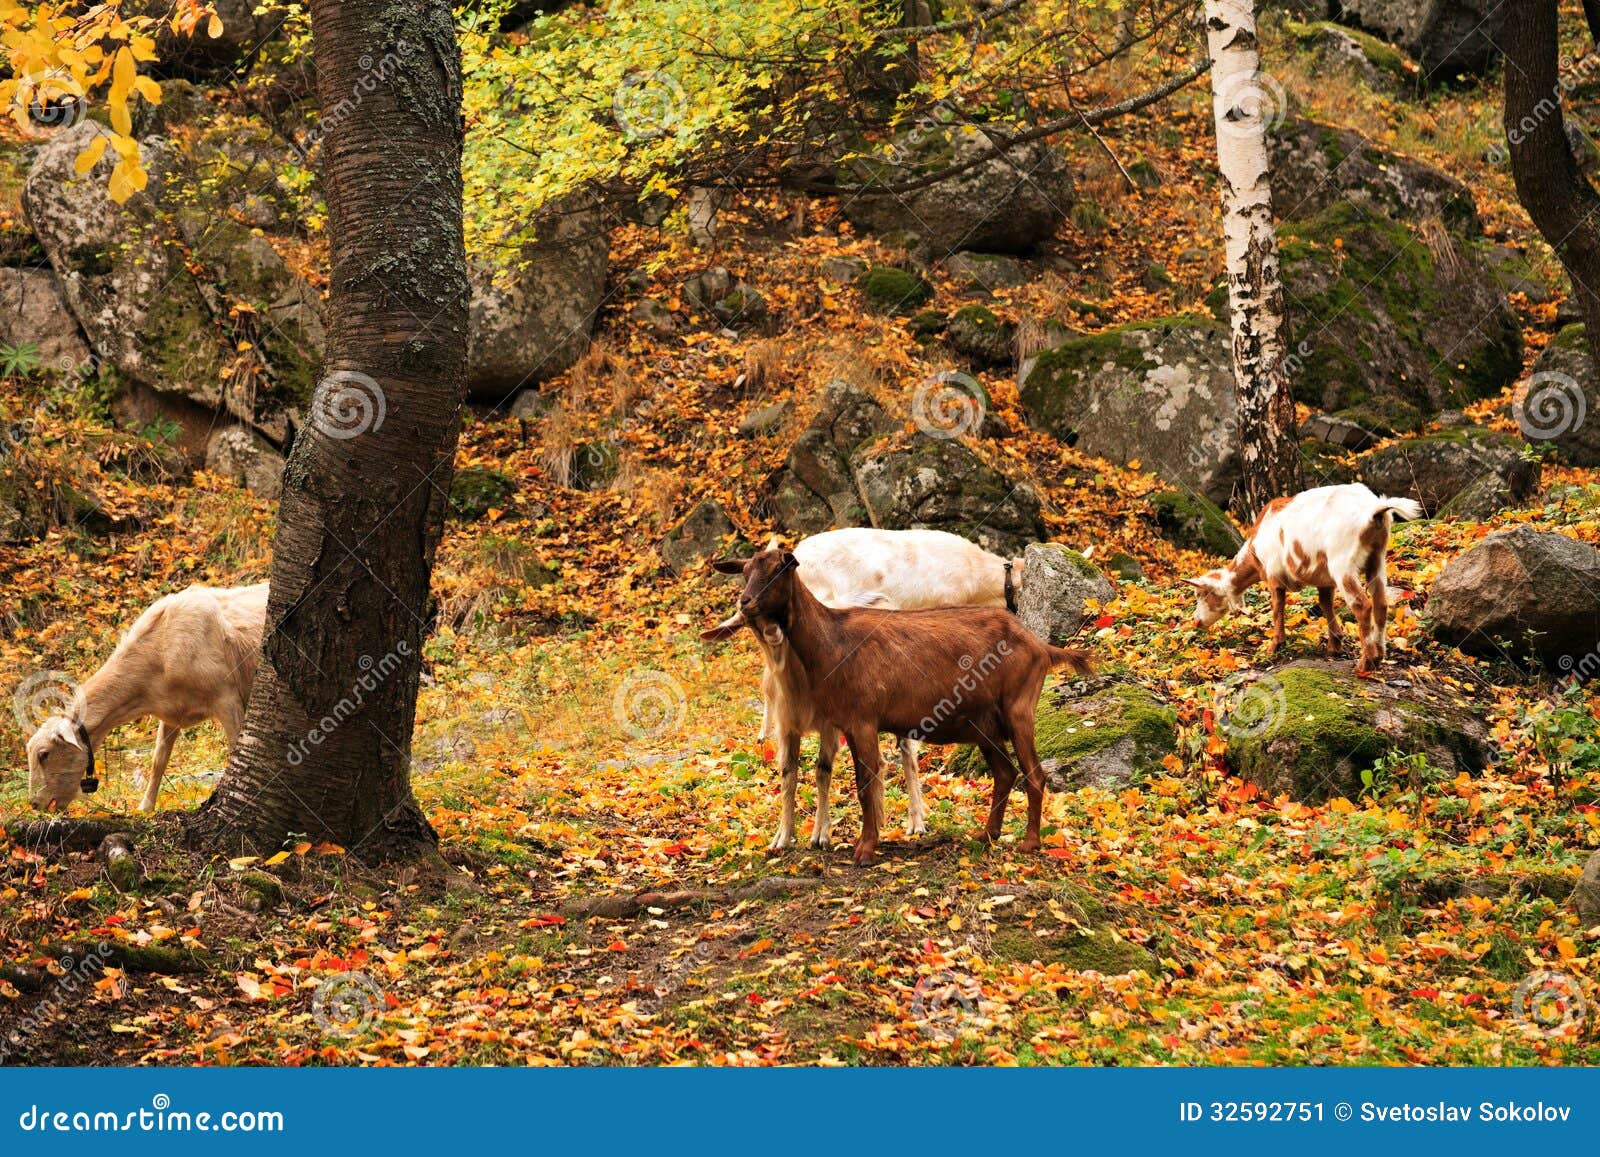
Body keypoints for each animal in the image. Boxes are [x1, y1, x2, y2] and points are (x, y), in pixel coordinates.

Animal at [25, 583, 268, 811]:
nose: (34, 804)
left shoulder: (227, 698)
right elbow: (158, 760)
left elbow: (236, 746)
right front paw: (145, 807)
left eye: (44, 754)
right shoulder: (171, 712)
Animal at [711, 548, 1092, 865]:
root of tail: (1041, 647)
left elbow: (866, 782)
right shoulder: (847, 724)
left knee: (1034, 774)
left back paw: (1029, 843)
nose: (745, 602)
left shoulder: (863, 718)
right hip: (984, 724)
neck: (832, 643)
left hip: (1019, 707)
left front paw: (865, 850)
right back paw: (986, 835)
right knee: (1005, 772)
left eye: (777, 570)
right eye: (745, 572)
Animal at [1183, 484, 1423, 673]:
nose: (1196, 621)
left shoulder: (1274, 576)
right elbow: (1325, 604)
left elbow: (1277, 608)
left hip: (1343, 564)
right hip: (1377, 560)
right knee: (1381, 603)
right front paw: (1334, 645)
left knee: (1362, 605)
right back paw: (1380, 656)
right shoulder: (1325, 581)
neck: (1254, 549)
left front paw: (1274, 646)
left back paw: (1366, 664)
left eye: (1201, 594)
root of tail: (1374, 510)